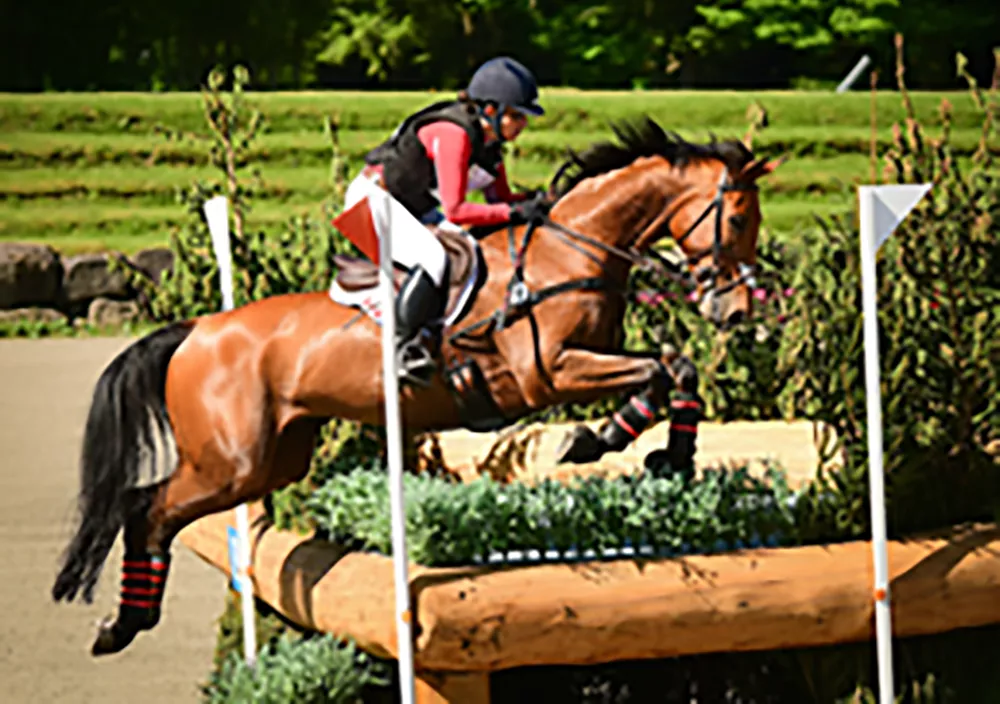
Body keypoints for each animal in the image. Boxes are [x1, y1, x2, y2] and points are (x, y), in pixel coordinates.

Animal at [50, 115, 781, 656]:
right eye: (740, 220)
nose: (737, 310)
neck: (569, 251)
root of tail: (198, 330)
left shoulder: (587, 358)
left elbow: (677, 369)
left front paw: (670, 456)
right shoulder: (547, 373)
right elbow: (656, 372)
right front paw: (591, 441)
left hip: (275, 459)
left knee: (165, 506)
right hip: (230, 462)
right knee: (146, 507)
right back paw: (122, 626)